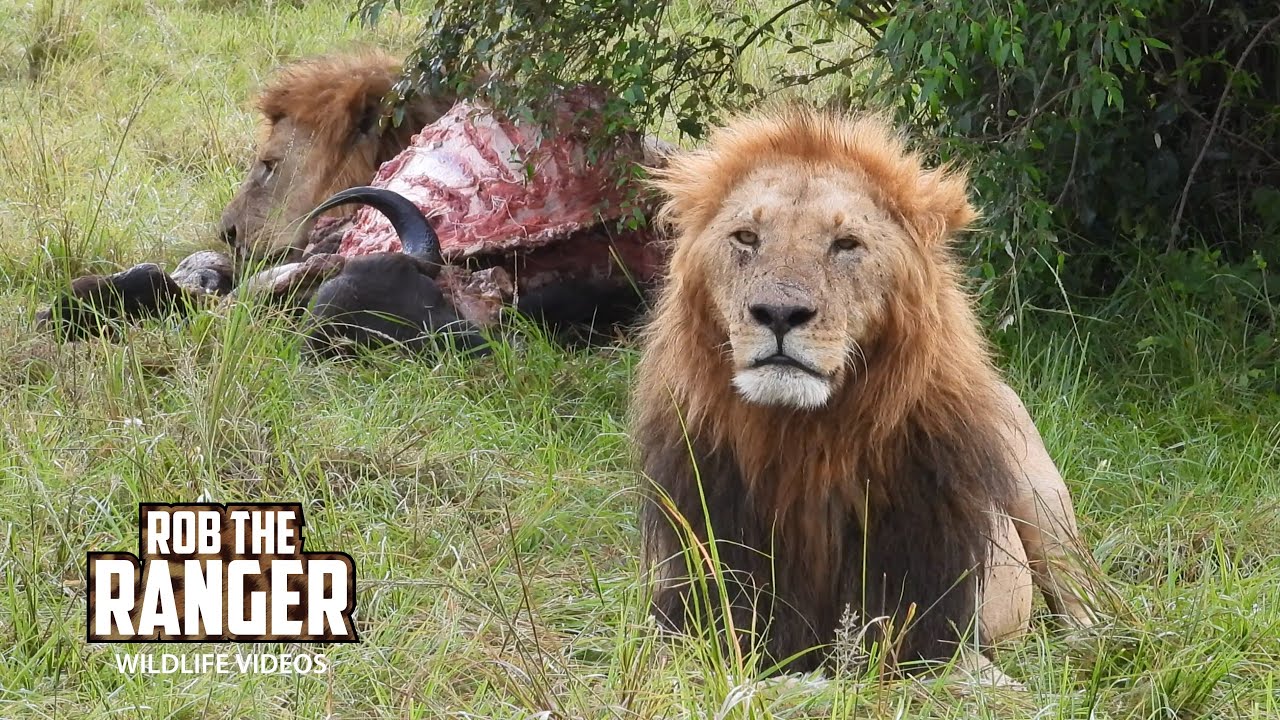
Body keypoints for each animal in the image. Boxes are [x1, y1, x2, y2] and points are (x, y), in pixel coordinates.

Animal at [632, 108, 1100, 683]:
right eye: (746, 237)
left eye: (846, 244)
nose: (779, 314)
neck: (803, 444)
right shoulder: (685, 620)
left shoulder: (935, 640)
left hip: (1046, 508)